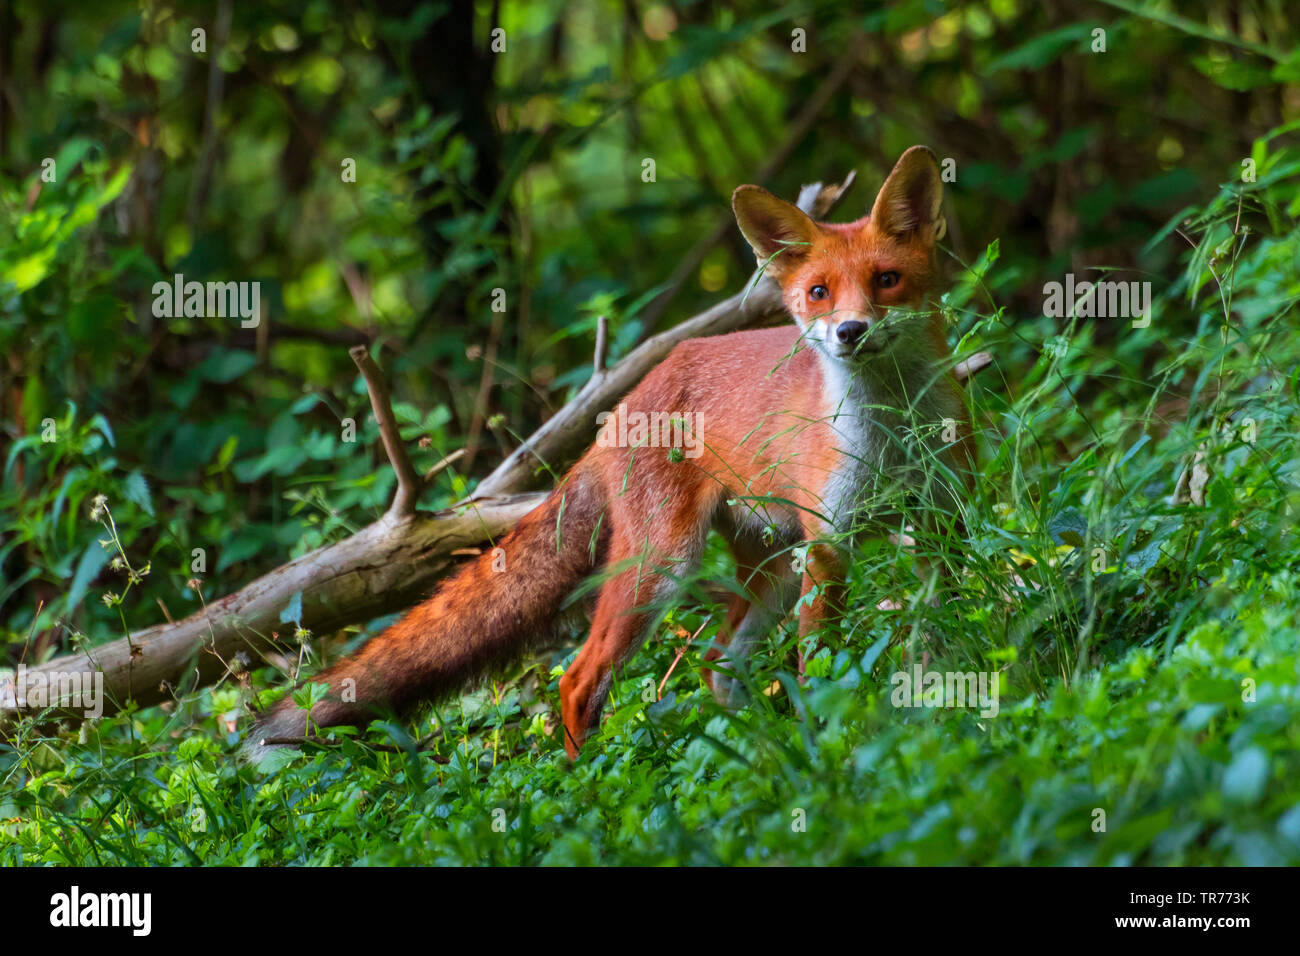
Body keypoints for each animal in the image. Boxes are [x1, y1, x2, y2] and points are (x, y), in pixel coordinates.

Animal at [247, 145, 973, 761]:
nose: (851, 331)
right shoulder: (830, 546)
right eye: (819, 293)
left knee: (714, 663)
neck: (892, 433)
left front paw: (943, 697)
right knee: (578, 679)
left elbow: (947, 628)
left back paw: (750, 753)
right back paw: (590, 783)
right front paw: (838, 730)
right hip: (664, 567)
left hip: (770, 570)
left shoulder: (945, 520)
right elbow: (824, 665)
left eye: (887, 280)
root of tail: (621, 405)